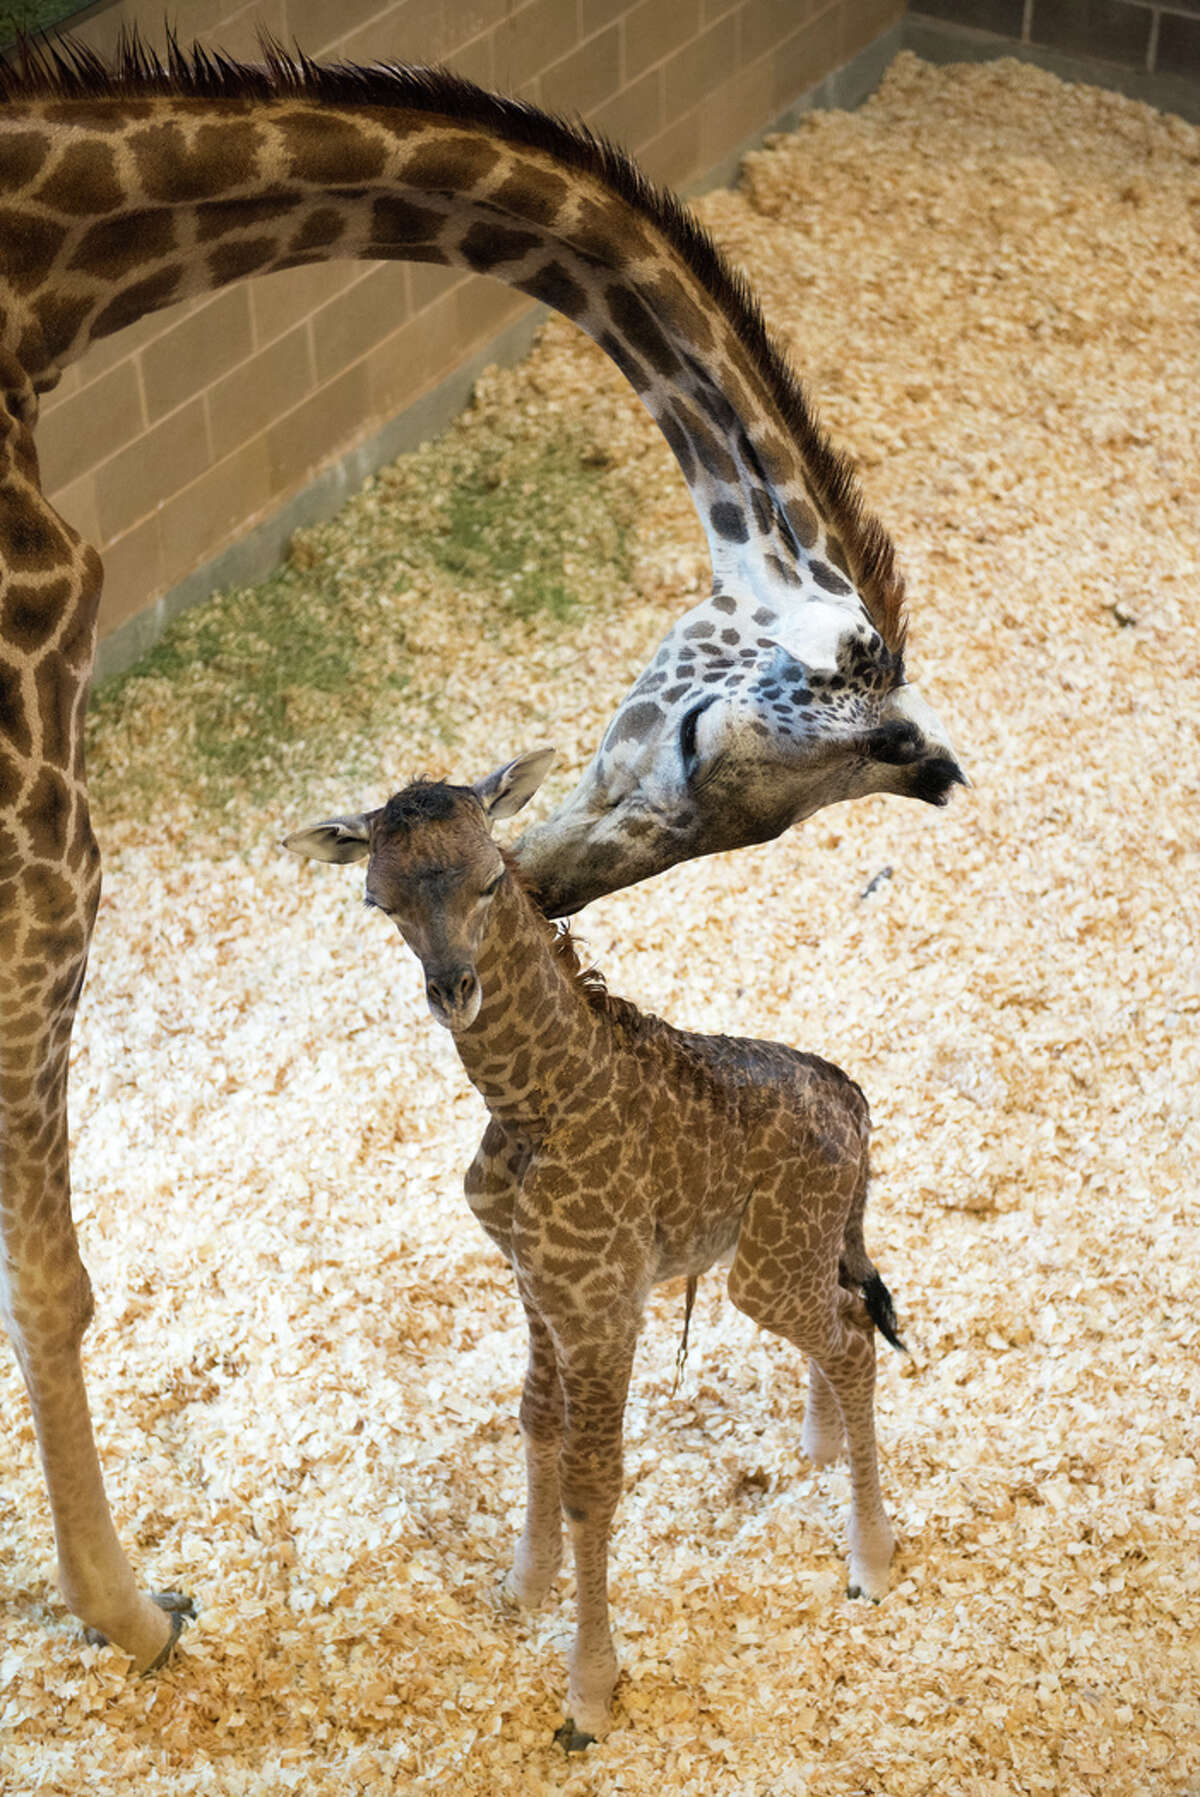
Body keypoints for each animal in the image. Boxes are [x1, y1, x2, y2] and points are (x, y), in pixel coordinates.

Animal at [286, 748, 906, 1747]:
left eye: (492, 878)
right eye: (379, 901)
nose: (453, 989)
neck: (537, 1106)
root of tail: (857, 1107)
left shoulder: (605, 1299)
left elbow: (593, 1482)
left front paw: (587, 1693)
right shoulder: (537, 1283)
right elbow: (534, 1417)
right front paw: (523, 1584)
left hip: (768, 1265)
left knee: (852, 1337)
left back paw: (872, 1562)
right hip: (794, 1251)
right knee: (847, 1319)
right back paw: (819, 1451)